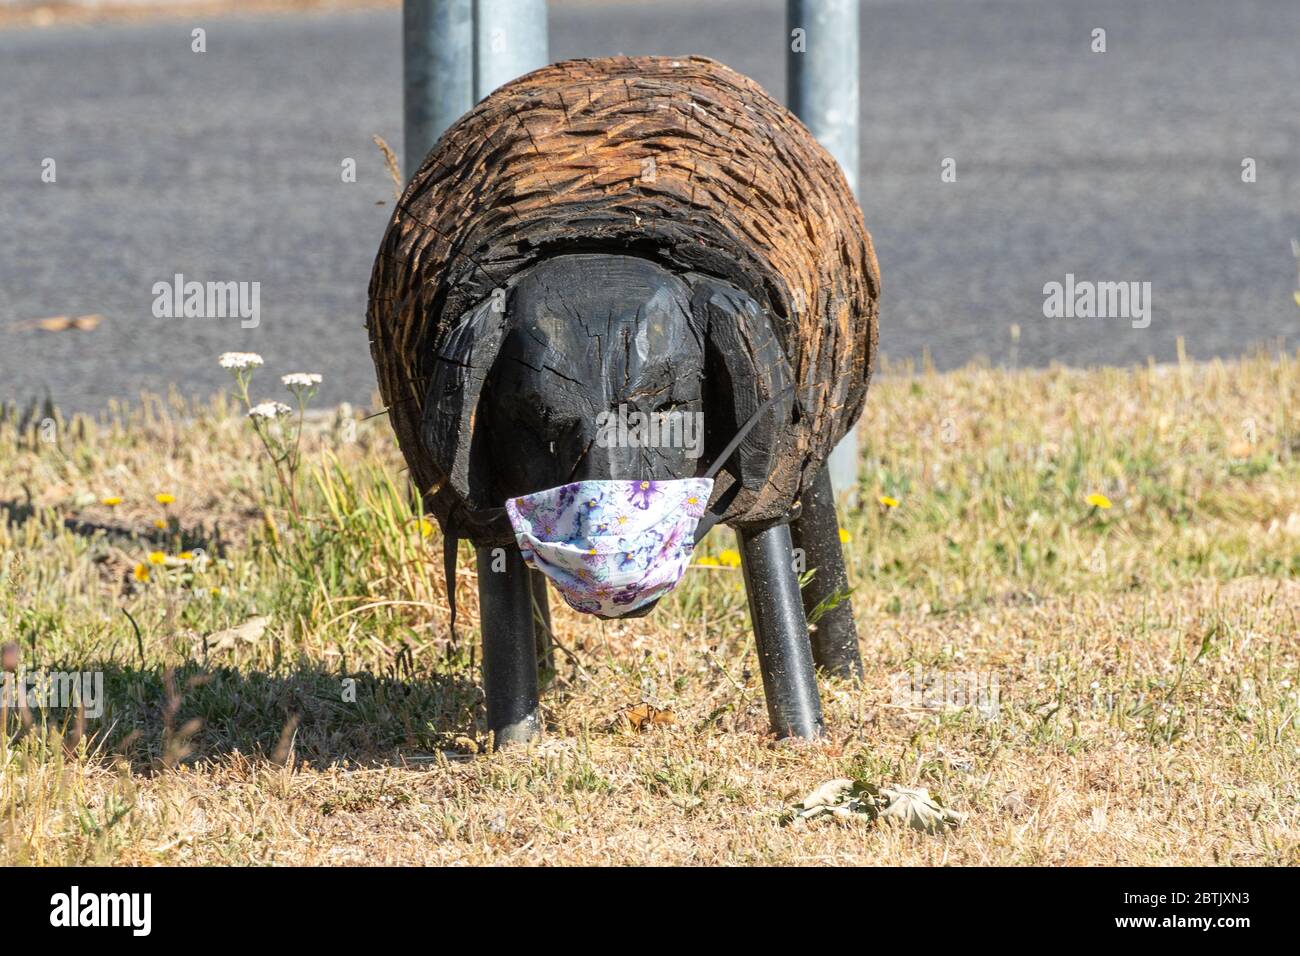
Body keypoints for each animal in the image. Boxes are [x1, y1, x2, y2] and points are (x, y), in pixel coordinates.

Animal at [368, 55, 880, 744]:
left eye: (667, 411)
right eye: (536, 422)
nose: (609, 553)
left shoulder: (772, 477)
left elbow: (773, 582)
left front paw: (802, 726)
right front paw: (517, 742)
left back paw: (842, 668)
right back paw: (547, 669)